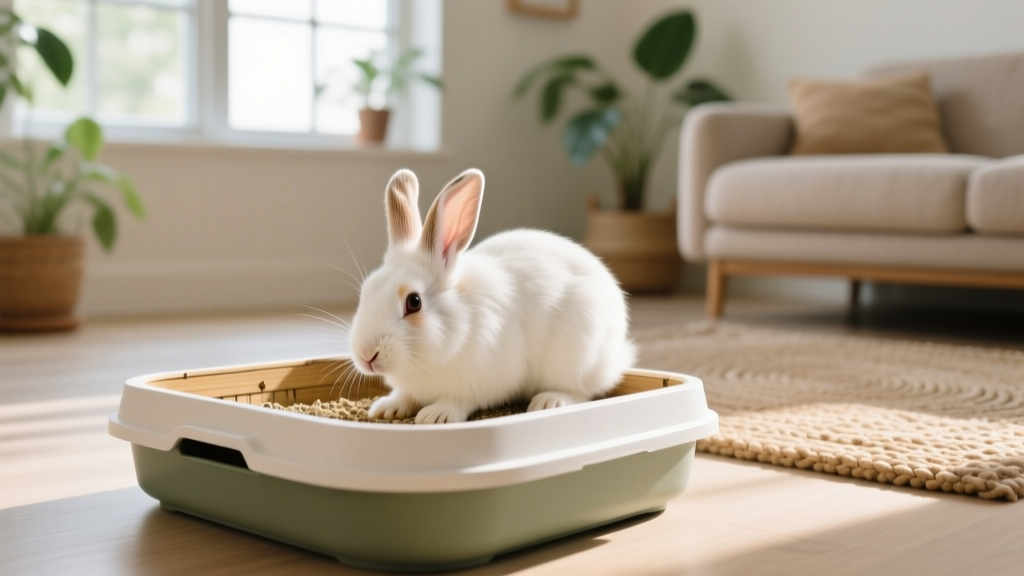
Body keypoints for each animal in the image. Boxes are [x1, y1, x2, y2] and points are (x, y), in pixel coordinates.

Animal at [348, 168, 637, 424]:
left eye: (414, 302)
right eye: (366, 291)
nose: (366, 355)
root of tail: (617, 352)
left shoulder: (483, 380)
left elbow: (460, 400)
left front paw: (435, 415)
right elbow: (406, 395)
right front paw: (388, 407)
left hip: (578, 352)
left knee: (584, 391)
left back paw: (550, 400)